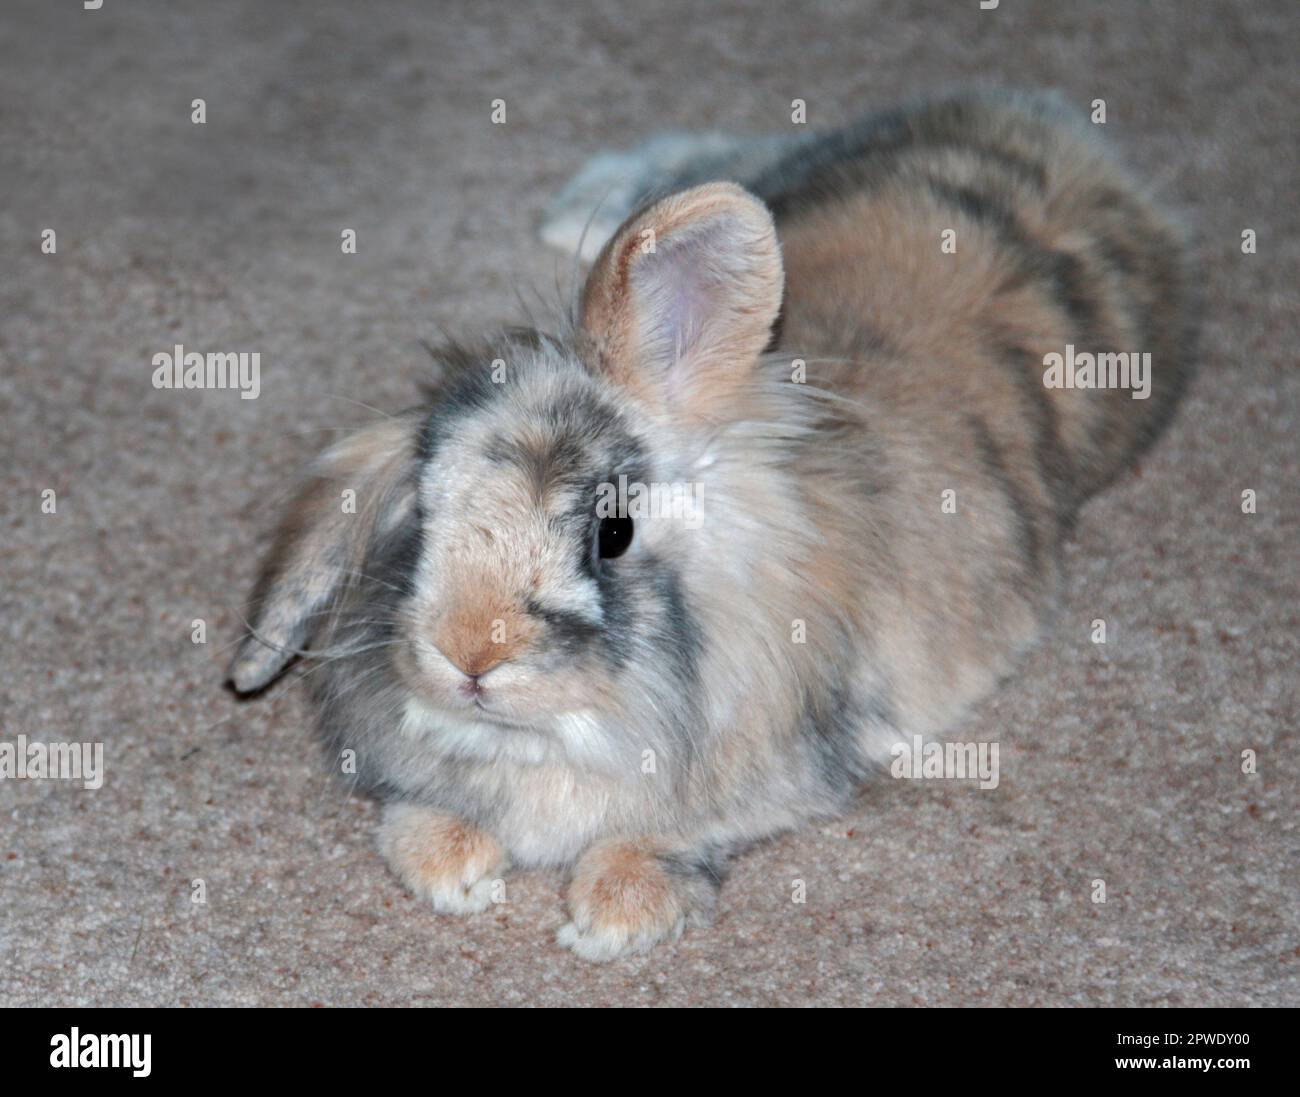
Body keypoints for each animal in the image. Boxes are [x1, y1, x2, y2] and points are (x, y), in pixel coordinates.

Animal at [229, 91, 1195, 961]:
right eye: (427, 509)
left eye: (612, 533)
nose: (470, 655)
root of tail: (1060, 138)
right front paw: (456, 871)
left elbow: (666, 840)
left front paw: (609, 920)